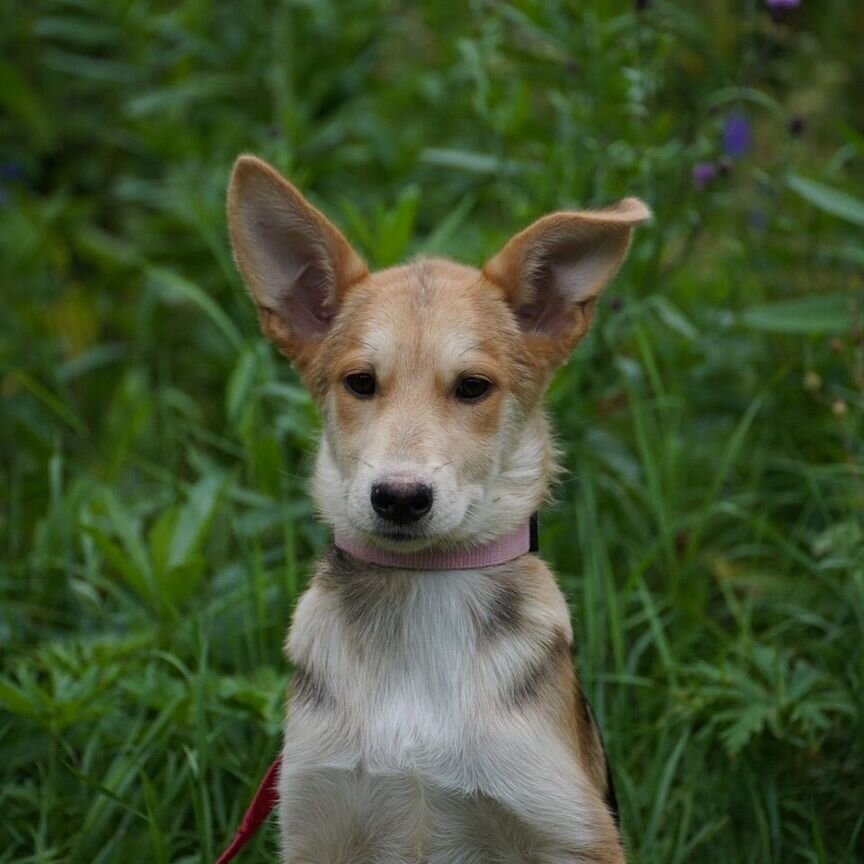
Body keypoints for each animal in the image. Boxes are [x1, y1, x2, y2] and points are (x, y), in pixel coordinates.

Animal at [228, 157, 648, 864]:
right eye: (359, 383)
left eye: (473, 387)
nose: (399, 497)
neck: (424, 587)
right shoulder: (316, 817)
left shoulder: (570, 828)